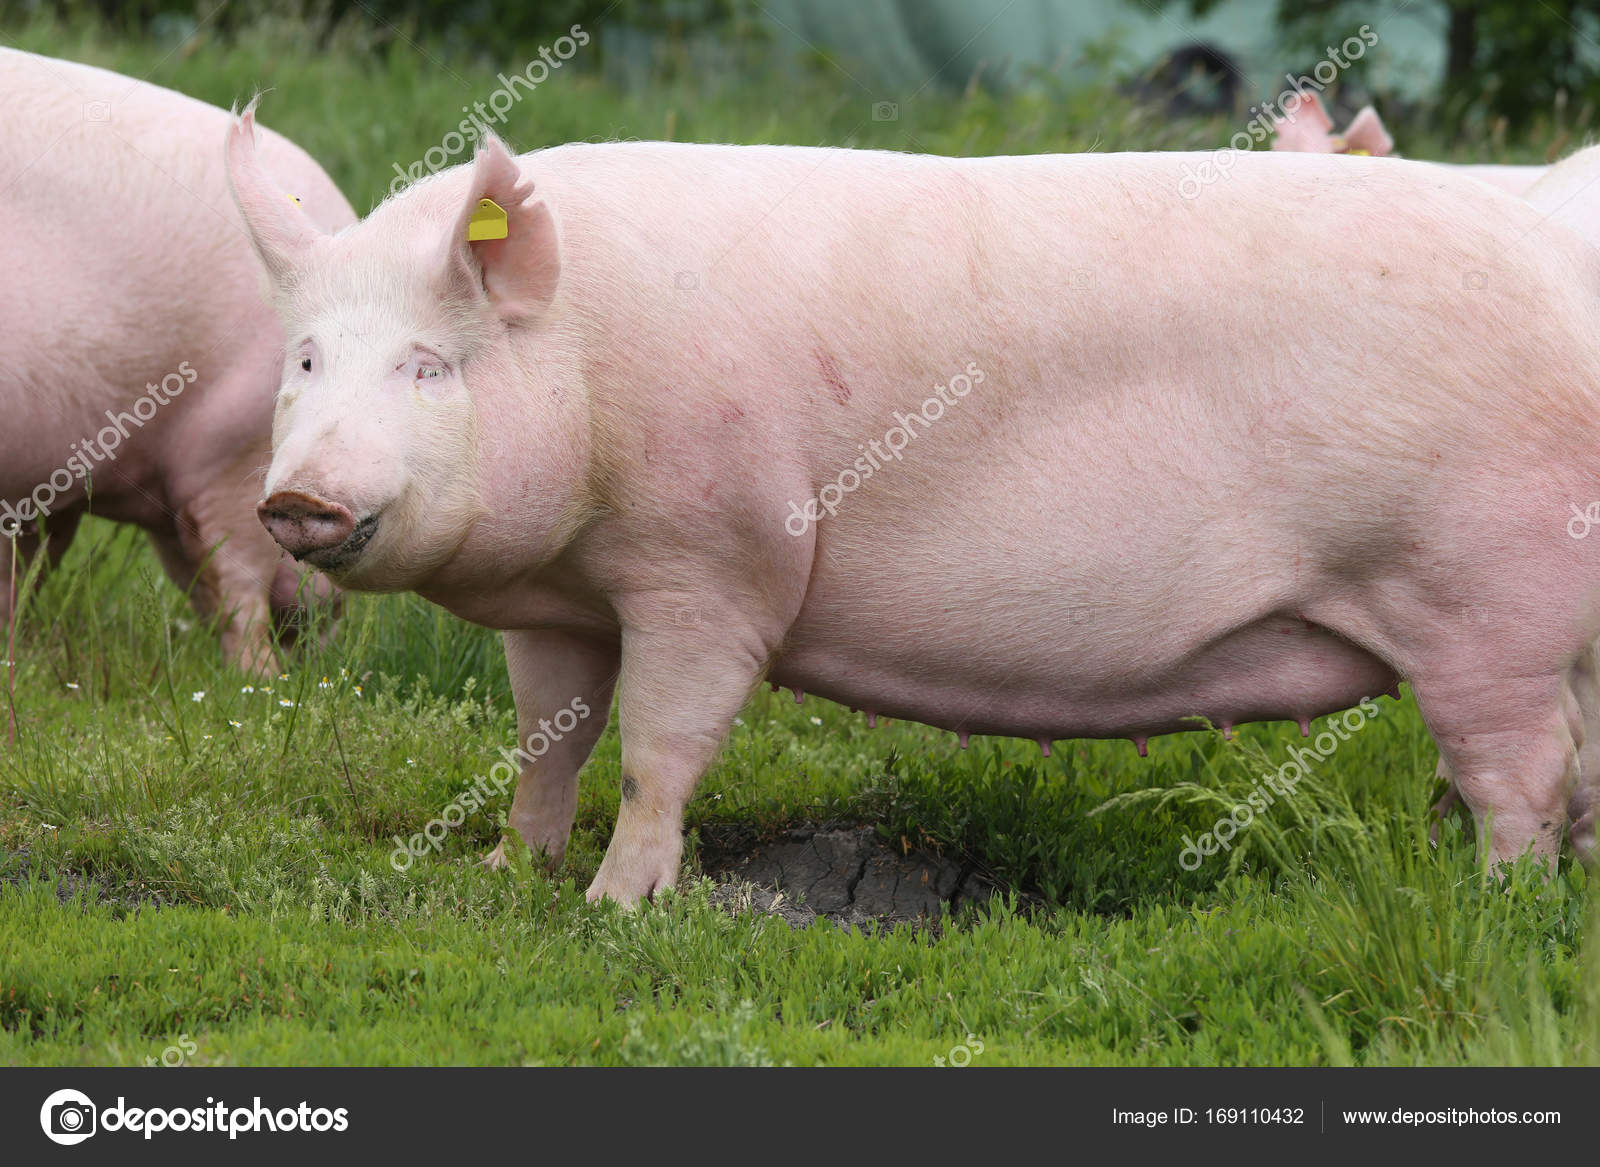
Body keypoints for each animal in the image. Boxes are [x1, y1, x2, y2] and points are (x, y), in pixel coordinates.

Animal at [0, 49, 354, 673]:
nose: (326, 622)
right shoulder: (233, 452)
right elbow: (239, 576)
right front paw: (260, 682)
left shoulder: (50, 482)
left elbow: (31, 562)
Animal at [229, 107, 1600, 904]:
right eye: (305, 359)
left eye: (427, 366)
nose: (296, 499)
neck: (590, 362)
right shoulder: (560, 600)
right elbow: (544, 739)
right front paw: (512, 868)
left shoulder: (716, 559)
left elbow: (661, 747)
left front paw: (620, 907)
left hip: (1483, 605)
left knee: (1520, 770)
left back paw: (1497, 906)